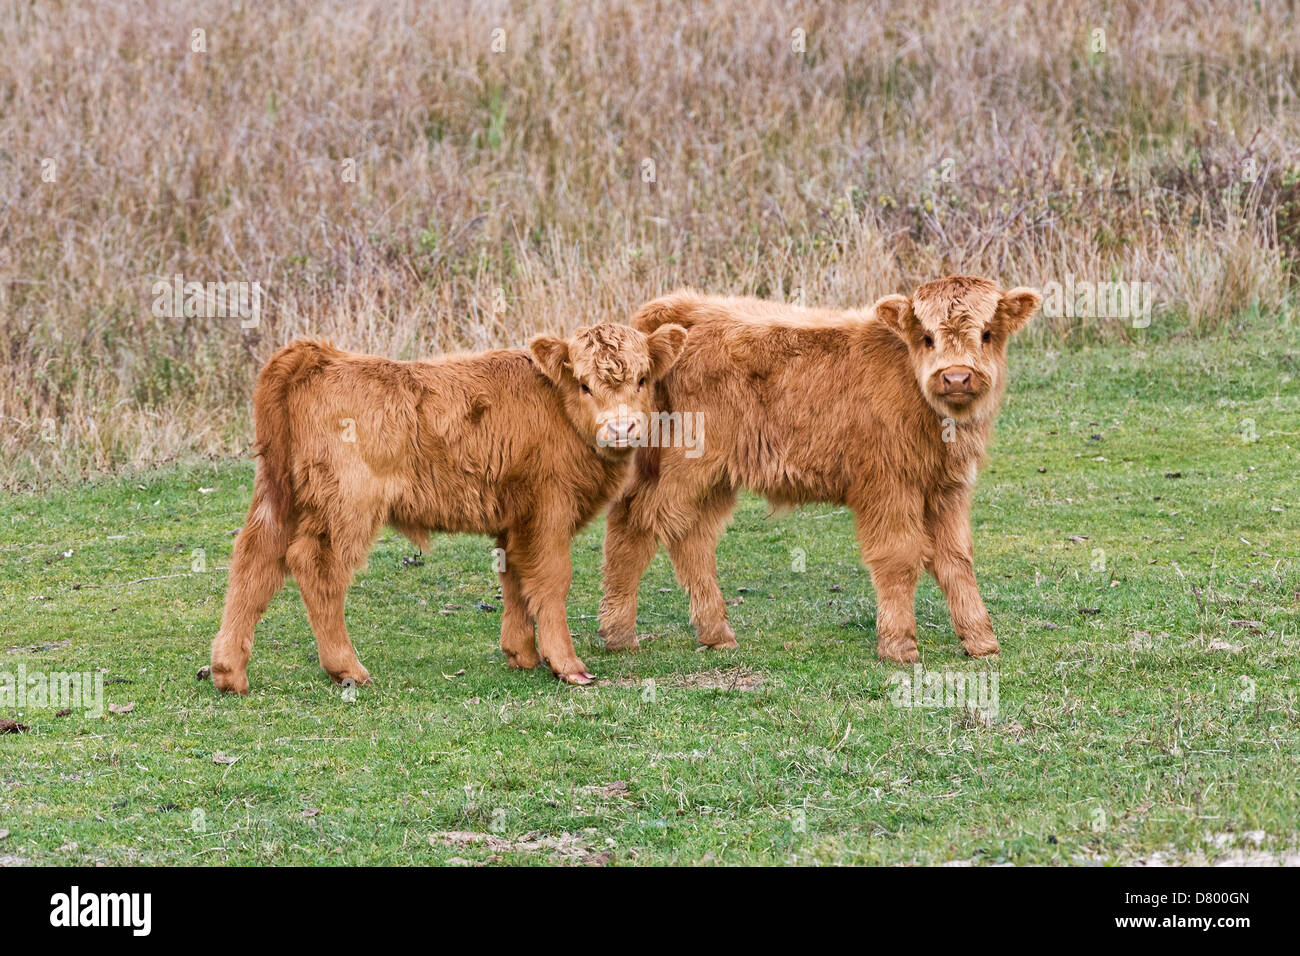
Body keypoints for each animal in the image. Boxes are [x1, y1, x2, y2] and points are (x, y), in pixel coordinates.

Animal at [208, 322, 687, 694]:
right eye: (585, 385)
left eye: (642, 379)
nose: (621, 427)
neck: (558, 409)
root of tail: (319, 356)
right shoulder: (548, 512)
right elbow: (551, 581)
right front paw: (566, 665)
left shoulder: (514, 519)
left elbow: (514, 577)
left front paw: (521, 654)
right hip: (345, 508)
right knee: (316, 567)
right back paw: (347, 668)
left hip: (279, 498)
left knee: (254, 559)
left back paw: (228, 672)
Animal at [597, 276, 1041, 663]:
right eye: (927, 337)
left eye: (987, 334)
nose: (957, 376)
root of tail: (681, 307)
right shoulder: (888, 486)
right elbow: (899, 557)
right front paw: (899, 646)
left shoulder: (948, 489)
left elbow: (956, 560)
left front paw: (981, 640)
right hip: (682, 464)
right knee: (634, 523)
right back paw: (619, 633)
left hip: (715, 478)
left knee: (691, 538)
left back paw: (716, 634)